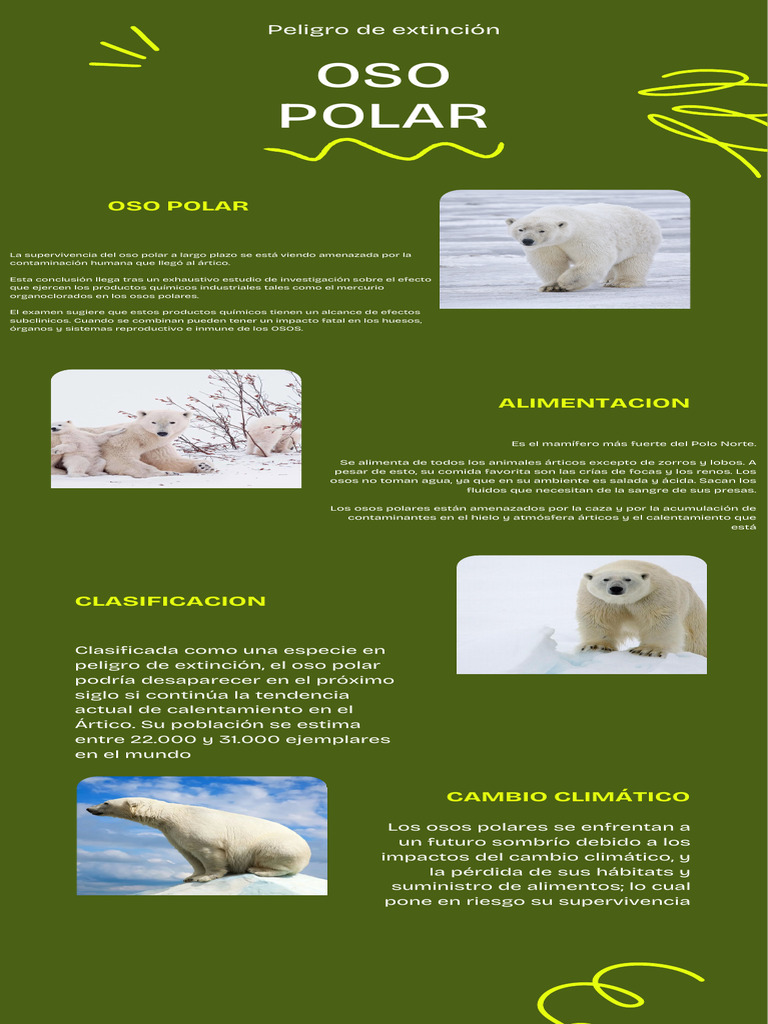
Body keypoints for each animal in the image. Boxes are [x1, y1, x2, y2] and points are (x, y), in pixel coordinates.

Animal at [86, 797, 312, 882]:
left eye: (106, 802)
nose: (89, 808)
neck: (171, 815)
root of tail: (308, 851)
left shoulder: (200, 831)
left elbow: (209, 852)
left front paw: (205, 877)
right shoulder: (175, 835)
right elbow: (189, 855)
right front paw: (191, 876)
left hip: (280, 846)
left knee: (273, 855)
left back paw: (259, 869)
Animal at [87, 410, 215, 478]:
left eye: (172, 422)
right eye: (153, 422)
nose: (162, 433)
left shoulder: (157, 448)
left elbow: (167, 460)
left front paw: (204, 465)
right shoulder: (124, 438)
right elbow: (119, 457)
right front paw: (167, 472)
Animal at [505, 204, 662, 292]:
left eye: (541, 230)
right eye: (521, 229)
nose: (527, 241)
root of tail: (650, 219)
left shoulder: (583, 236)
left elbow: (595, 258)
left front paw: (565, 282)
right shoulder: (547, 246)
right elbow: (550, 263)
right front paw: (551, 286)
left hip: (640, 240)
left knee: (633, 263)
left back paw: (621, 283)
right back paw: (608, 280)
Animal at [576, 560, 707, 658]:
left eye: (628, 579)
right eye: (606, 579)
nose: (616, 588)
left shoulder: (655, 595)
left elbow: (659, 620)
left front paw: (648, 650)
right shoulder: (597, 599)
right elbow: (597, 618)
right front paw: (596, 646)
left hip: (693, 611)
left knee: (696, 640)